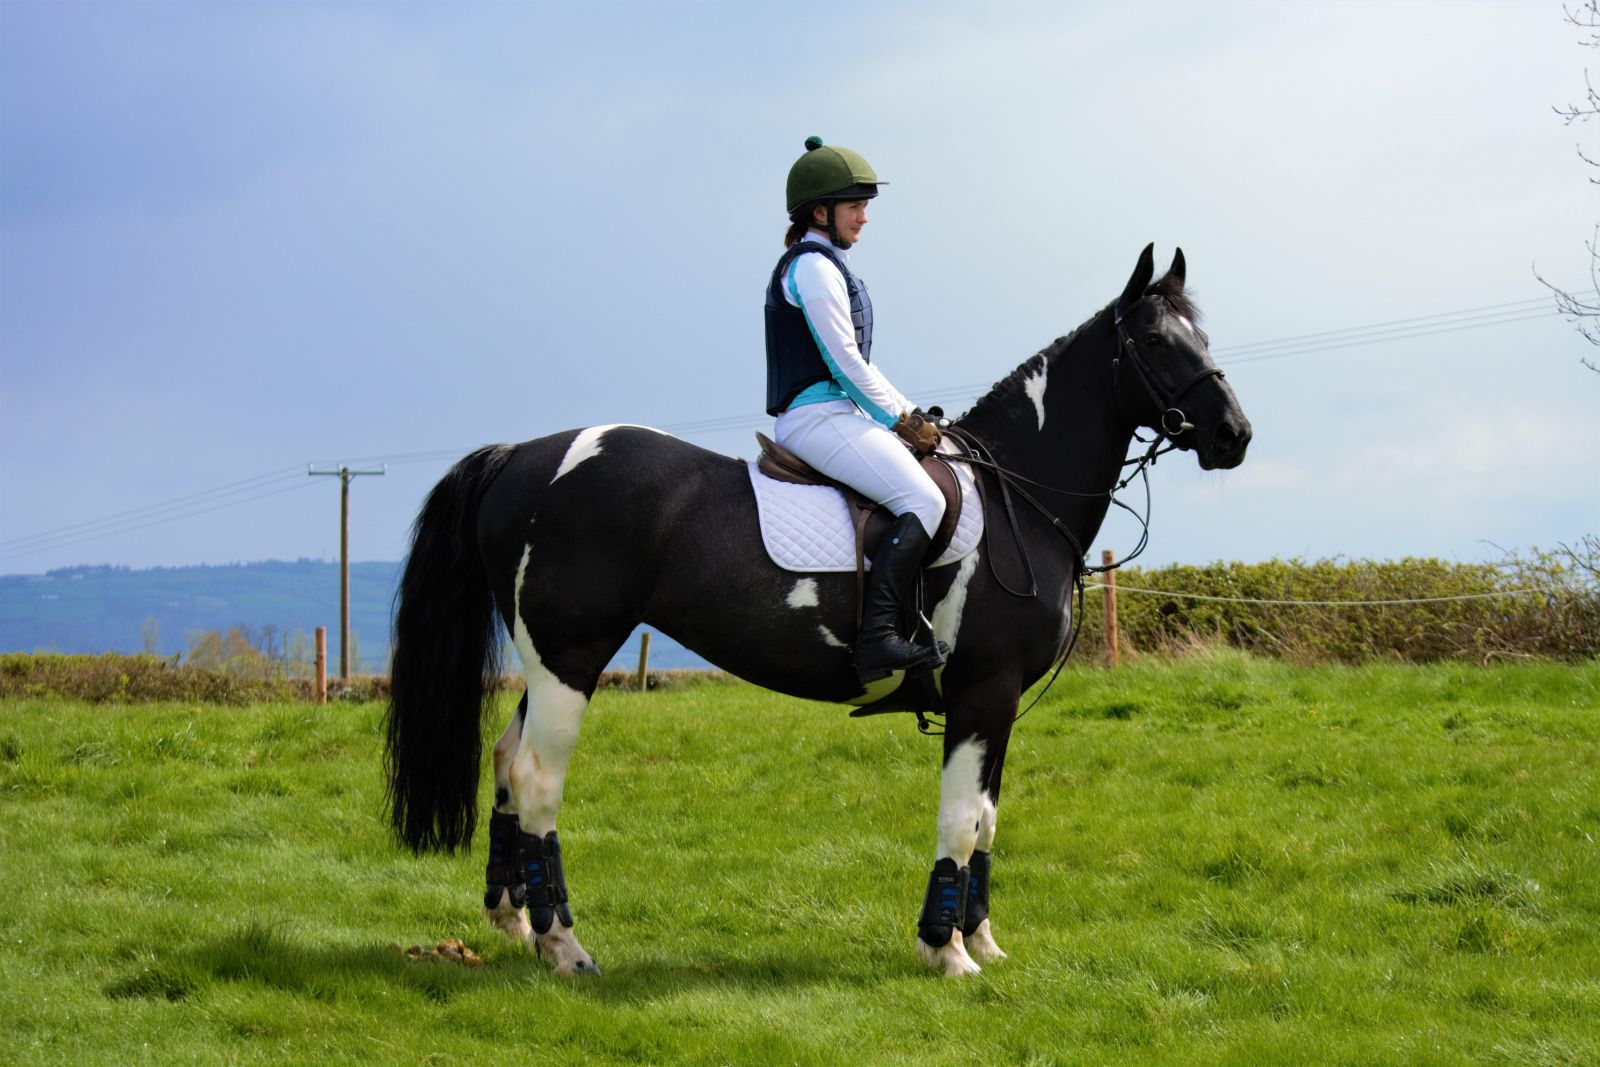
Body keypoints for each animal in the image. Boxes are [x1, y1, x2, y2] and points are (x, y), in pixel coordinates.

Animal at [384, 244, 1252, 977]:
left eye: (1202, 334)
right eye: (1156, 341)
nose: (1234, 434)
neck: (1021, 502)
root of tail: (524, 455)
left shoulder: (998, 705)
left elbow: (987, 820)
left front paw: (982, 940)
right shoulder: (983, 692)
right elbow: (961, 821)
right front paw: (947, 953)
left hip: (552, 660)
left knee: (506, 759)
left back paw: (516, 922)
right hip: (571, 658)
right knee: (536, 779)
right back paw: (565, 945)